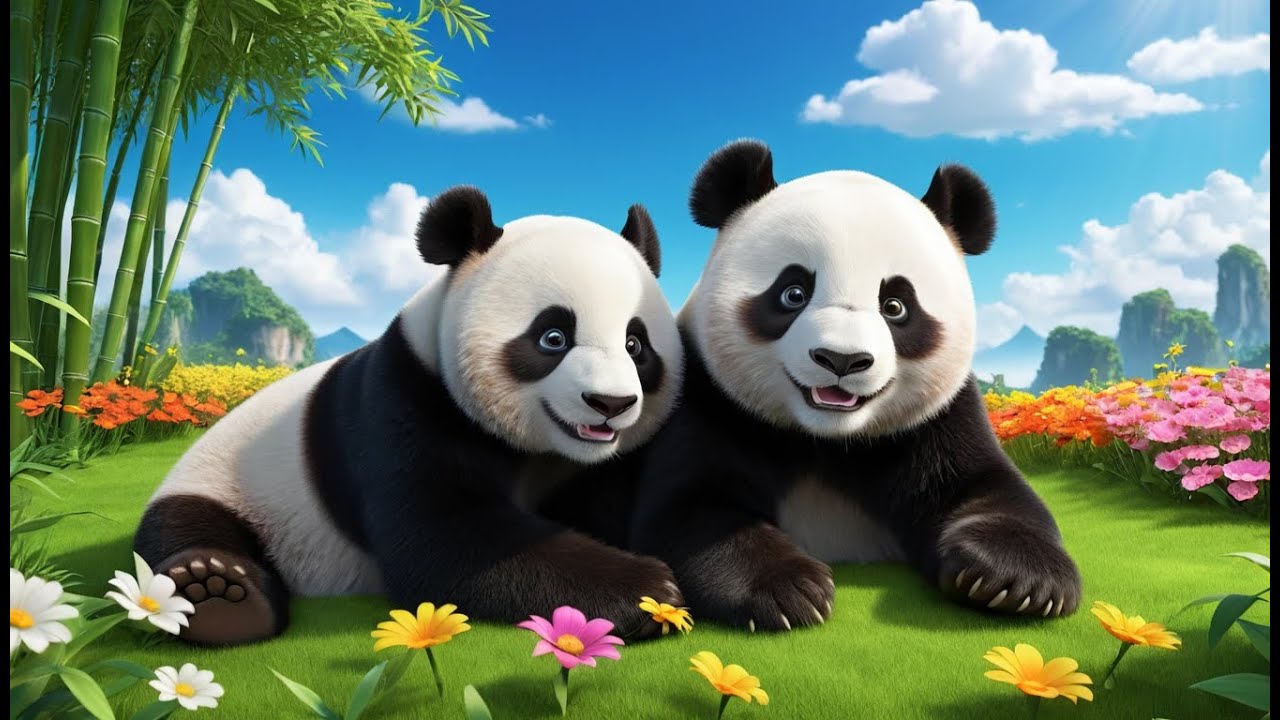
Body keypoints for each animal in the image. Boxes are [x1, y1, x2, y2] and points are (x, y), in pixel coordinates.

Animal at [135, 186, 686, 646]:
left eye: (635, 345)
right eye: (553, 337)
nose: (611, 404)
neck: (544, 451)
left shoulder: (593, 467)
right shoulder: (404, 400)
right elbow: (445, 541)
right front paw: (650, 589)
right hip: (227, 482)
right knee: (182, 526)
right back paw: (217, 592)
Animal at [630, 140, 1081, 632]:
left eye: (896, 305)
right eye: (793, 292)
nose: (841, 360)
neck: (825, 439)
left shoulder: (938, 419)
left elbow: (987, 489)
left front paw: (1016, 578)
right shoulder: (710, 398)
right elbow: (690, 507)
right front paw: (787, 590)